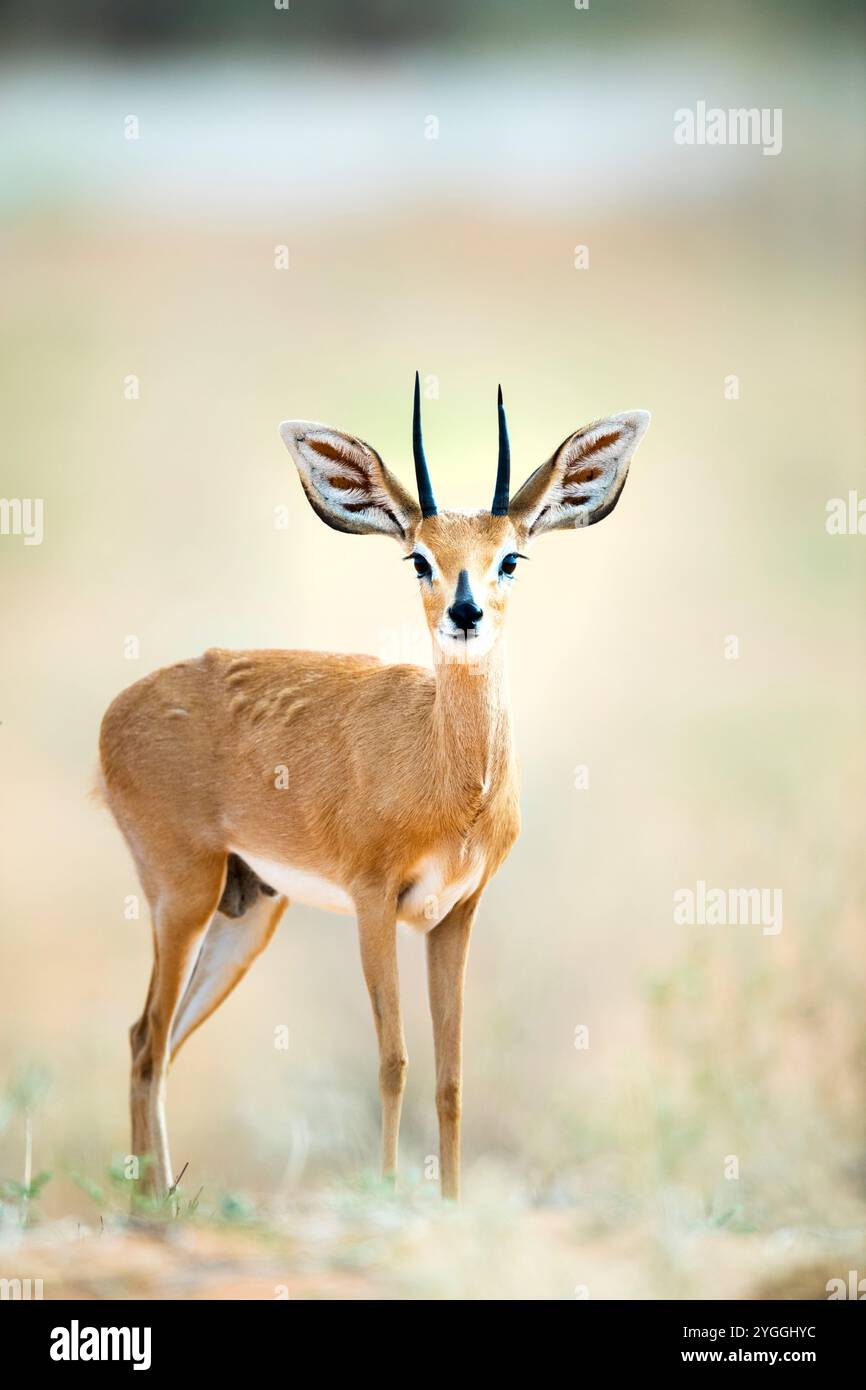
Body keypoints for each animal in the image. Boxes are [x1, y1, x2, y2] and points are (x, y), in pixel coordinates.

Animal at [99, 377, 650, 1200]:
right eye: (418, 558)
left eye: (511, 558)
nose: (465, 612)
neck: (452, 782)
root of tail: (116, 712)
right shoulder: (372, 902)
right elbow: (393, 1061)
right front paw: (389, 1192)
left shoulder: (456, 915)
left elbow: (451, 1076)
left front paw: (449, 1204)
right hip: (182, 896)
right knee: (144, 1041)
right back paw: (151, 1210)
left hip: (246, 912)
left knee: (156, 1045)